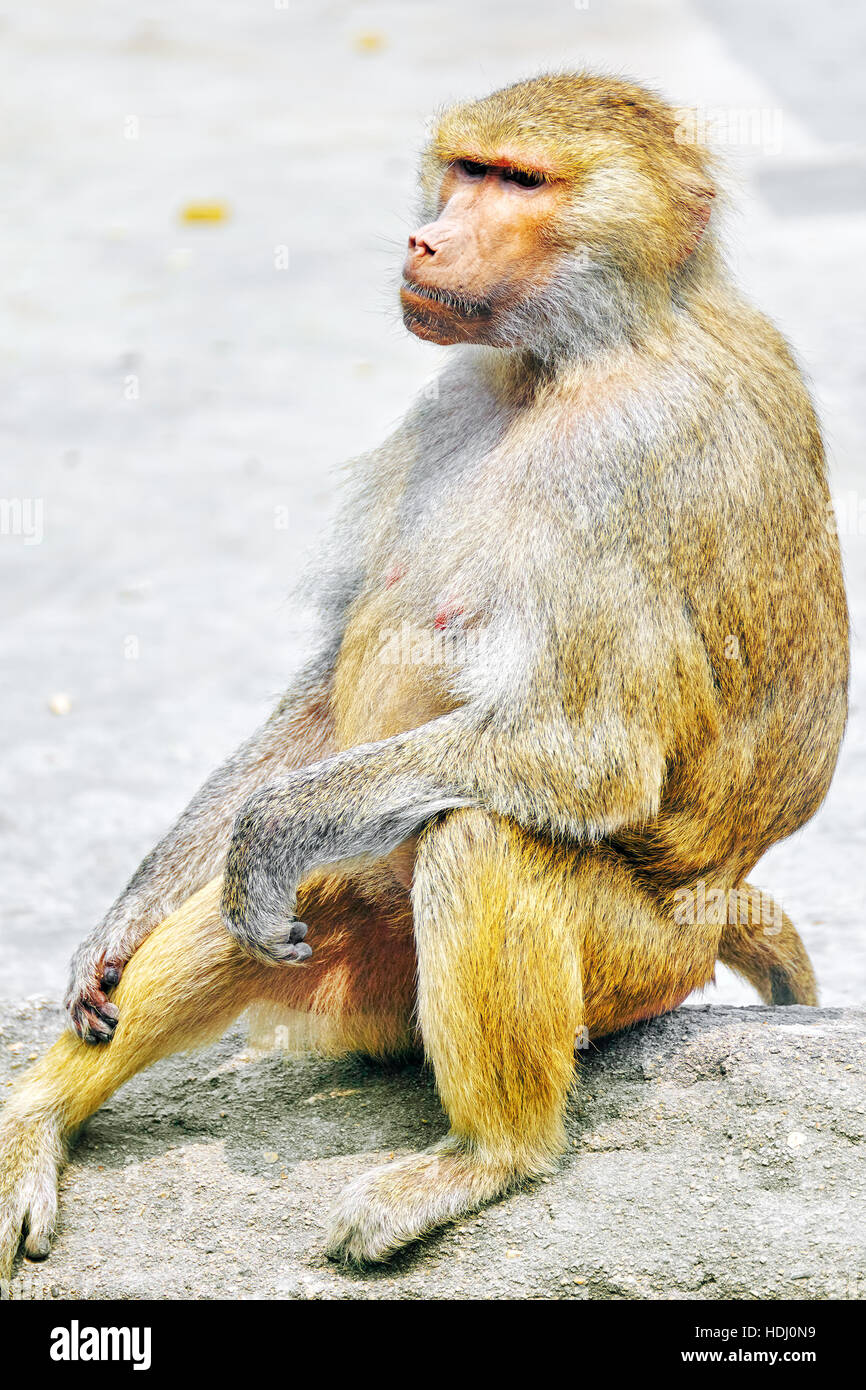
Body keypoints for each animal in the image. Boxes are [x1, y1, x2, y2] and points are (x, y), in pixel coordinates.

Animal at [0, 71, 848, 1273]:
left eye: (521, 182)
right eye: (464, 169)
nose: (425, 238)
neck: (581, 353)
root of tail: (711, 904)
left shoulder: (631, 455)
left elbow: (583, 755)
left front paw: (271, 827)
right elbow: (319, 702)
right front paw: (115, 931)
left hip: (640, 964)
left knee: (480, 832)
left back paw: (486, 1157)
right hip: (370, 956)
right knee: (294, 893)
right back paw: (34, 1121)